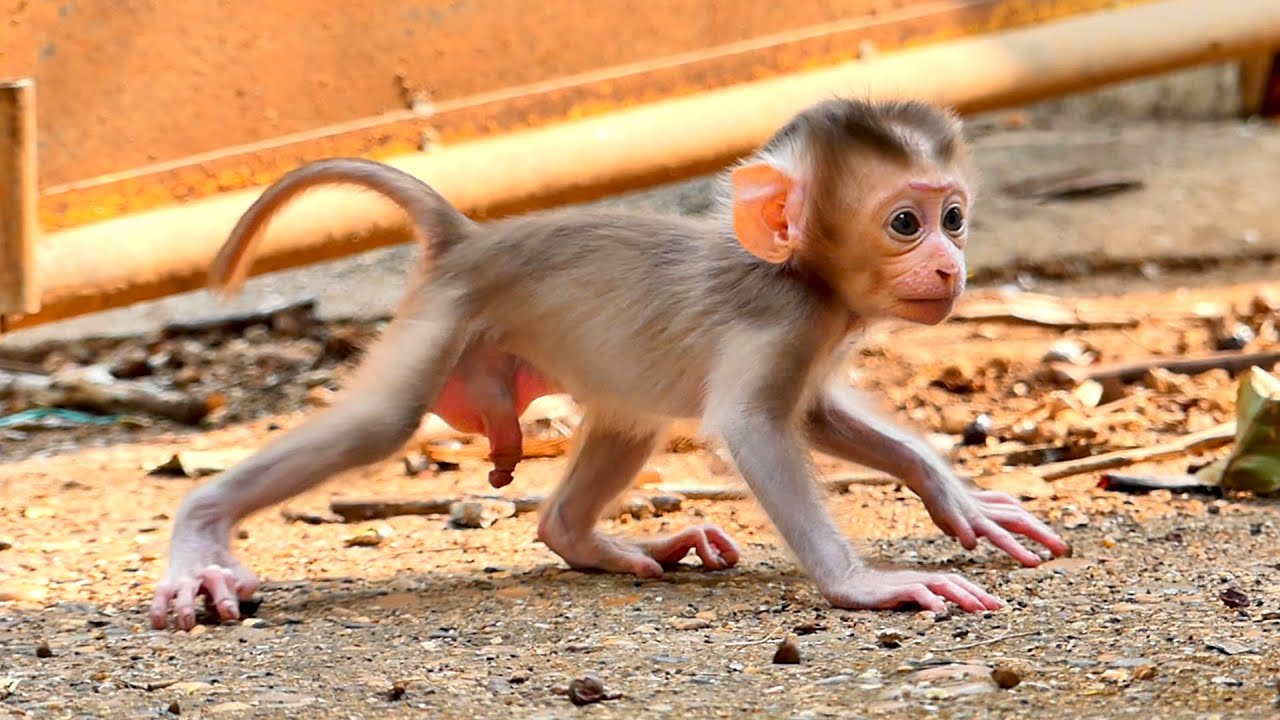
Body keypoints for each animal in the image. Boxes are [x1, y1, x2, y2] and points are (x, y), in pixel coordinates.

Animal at [150, 97, 1071, 631]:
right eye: (907, 223)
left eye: (956, 217)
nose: (950, 266)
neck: (801, 274)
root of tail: (468, 236)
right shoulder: (785, 321)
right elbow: (753, 426)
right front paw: (863, 585)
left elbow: (812, 415)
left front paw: (959, 499)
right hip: (445, 318)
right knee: (380, 423)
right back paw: (200, 533)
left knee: (630, 424)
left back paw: (593, 540)